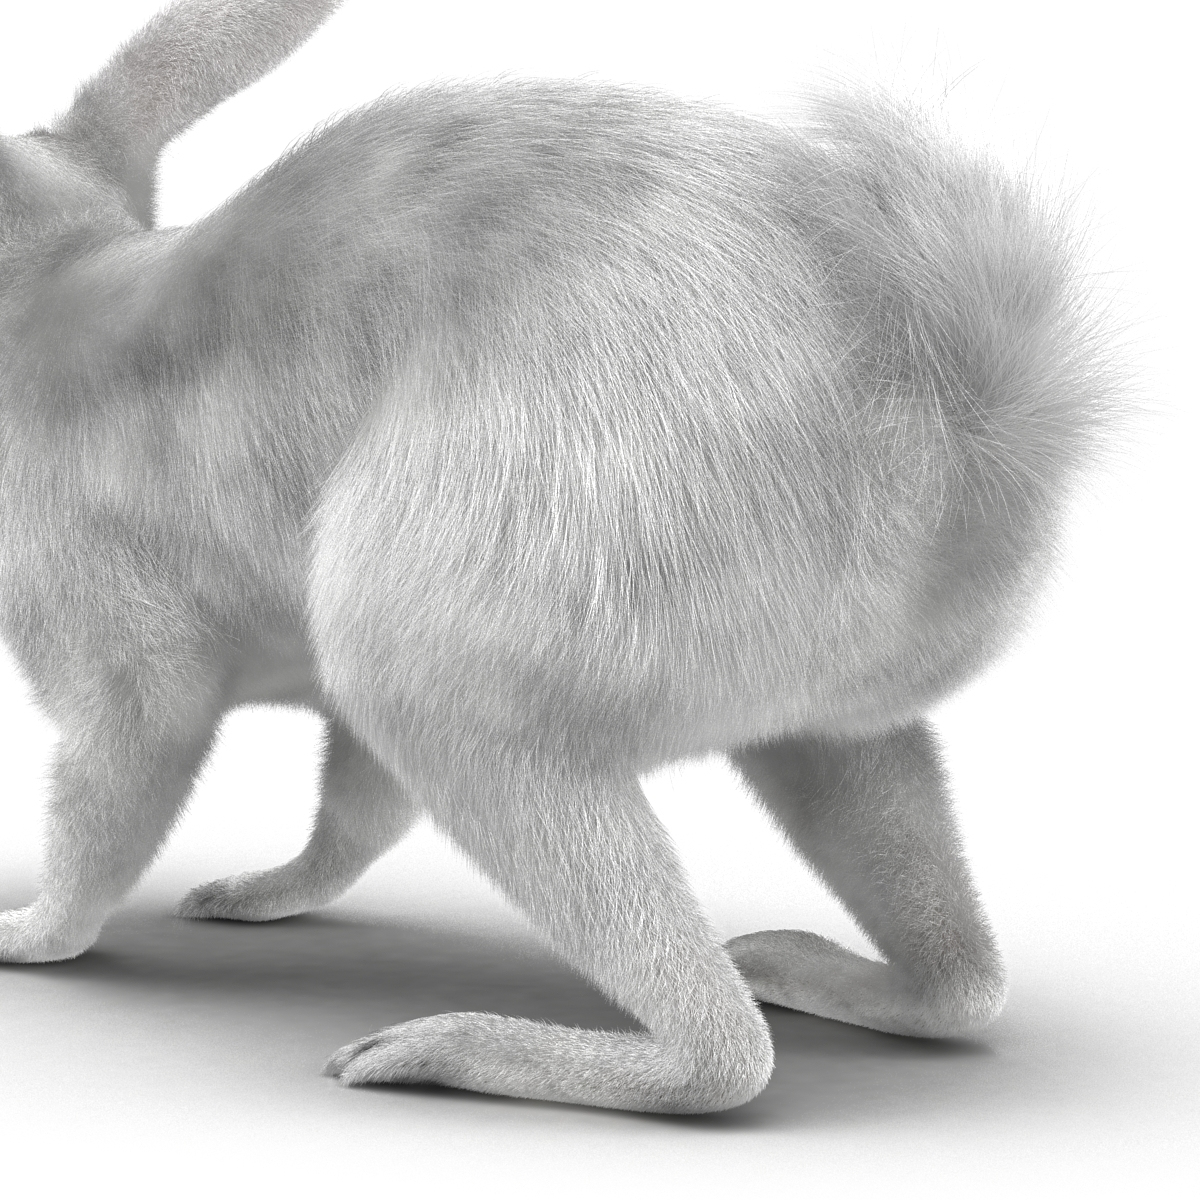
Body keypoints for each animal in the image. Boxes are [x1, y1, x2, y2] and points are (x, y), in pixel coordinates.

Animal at [0, 0, 1116, 1114]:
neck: (50, 291)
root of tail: (960, 434)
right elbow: (355, 812)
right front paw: (264, 890)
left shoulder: (118, 654)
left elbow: (113, 802)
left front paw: (27, 934)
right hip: (831, 720)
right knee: (959, 979)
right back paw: (812, 967)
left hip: (449, 641)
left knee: (726, 1056)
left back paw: (452, 1048)